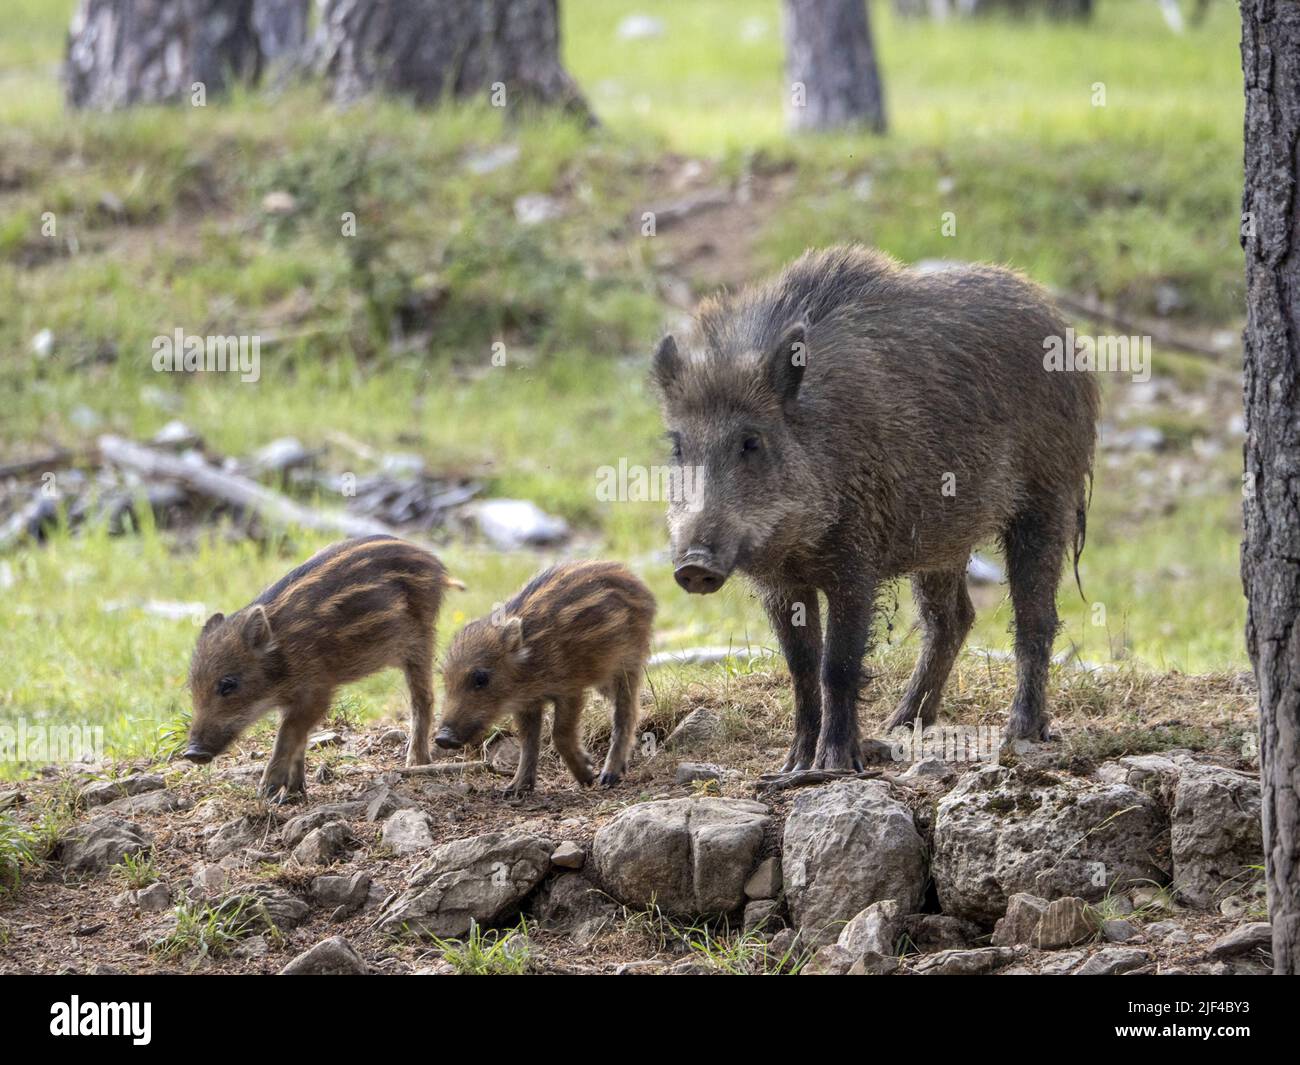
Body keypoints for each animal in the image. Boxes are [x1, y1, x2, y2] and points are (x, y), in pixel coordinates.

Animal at [184, 535, 461, 800]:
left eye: (228, 684)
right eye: (192, 688)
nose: (192, 753)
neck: (281, 656)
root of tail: (433, 561)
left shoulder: (317, 690)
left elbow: (288, 735)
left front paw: (267, 791)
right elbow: (299, 737)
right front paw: (293, 793)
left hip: (420, 640)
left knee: (423, 698)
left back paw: (416, 763)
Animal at [434, 560, 655, 795]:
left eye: (481, 678)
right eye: (445, 680)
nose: (442, 738)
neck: (529, 663)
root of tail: (639, 585)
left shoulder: (570, 688)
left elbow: (559, 733)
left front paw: (587, 777)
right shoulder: (527, 703)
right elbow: (528, 740)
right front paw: (514, 789)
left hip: (628, 662)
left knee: (627, 711)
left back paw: (608, 776)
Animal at [653, 245, 1098, 772]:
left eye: (751, 441)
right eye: (678, 447)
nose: (693, 565)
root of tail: (1060, 323)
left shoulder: (856, 561)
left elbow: (837, 665)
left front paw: (832, 766)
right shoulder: (781, 584)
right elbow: (800, 668)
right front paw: (791, 766)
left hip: (1047, 499)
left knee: (1035, 618)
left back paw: (1019, 734)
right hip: (943, 539)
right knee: (952, 619)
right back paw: (901, 724)